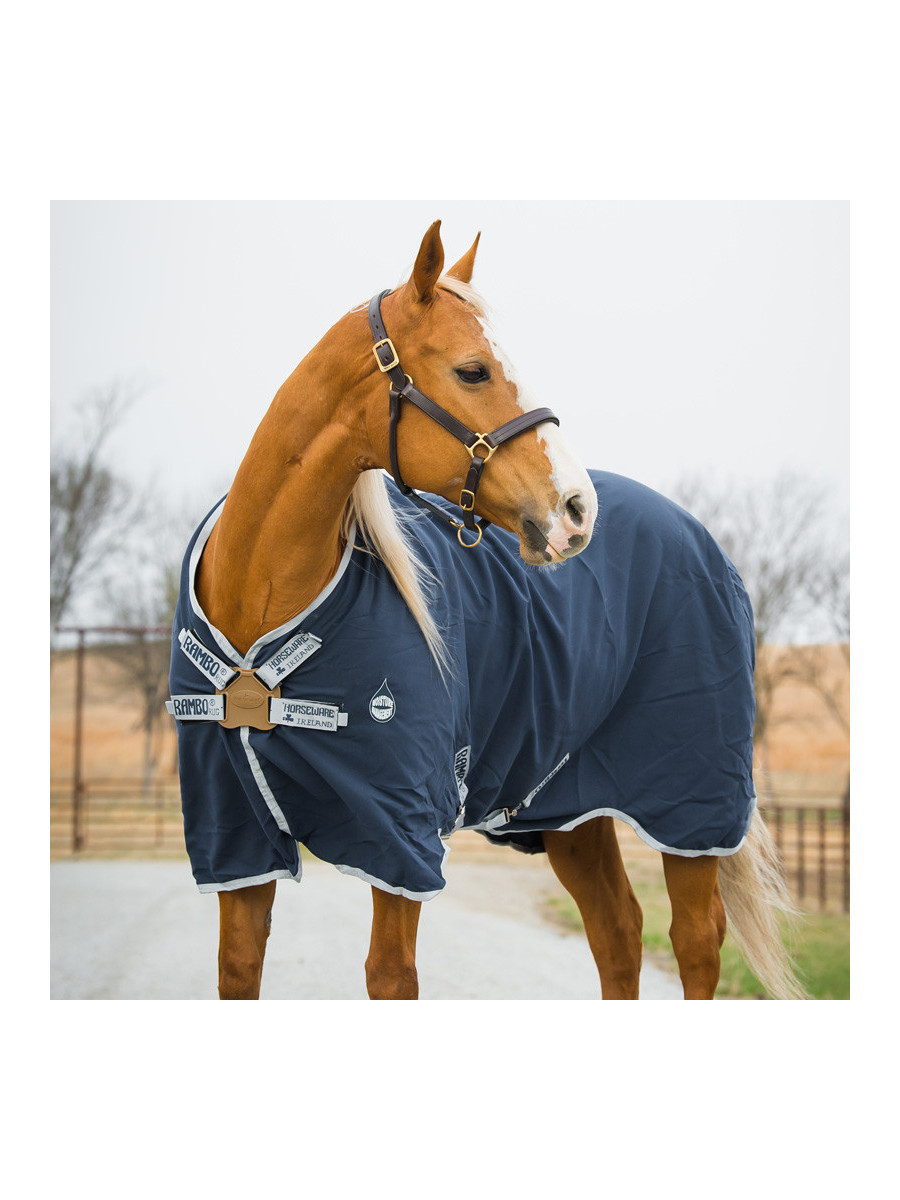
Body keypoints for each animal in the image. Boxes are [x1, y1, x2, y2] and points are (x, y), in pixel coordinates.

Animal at [167, 220, 805, 1000]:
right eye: (473, 371)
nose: (576, 508)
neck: (261, 607)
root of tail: (698, 537)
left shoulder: (399, 836)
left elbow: (390, 974)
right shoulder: (234, 841)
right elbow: (238, 965)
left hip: (689, 800)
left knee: (694, 939)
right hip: (573, 811)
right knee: (618, 932)